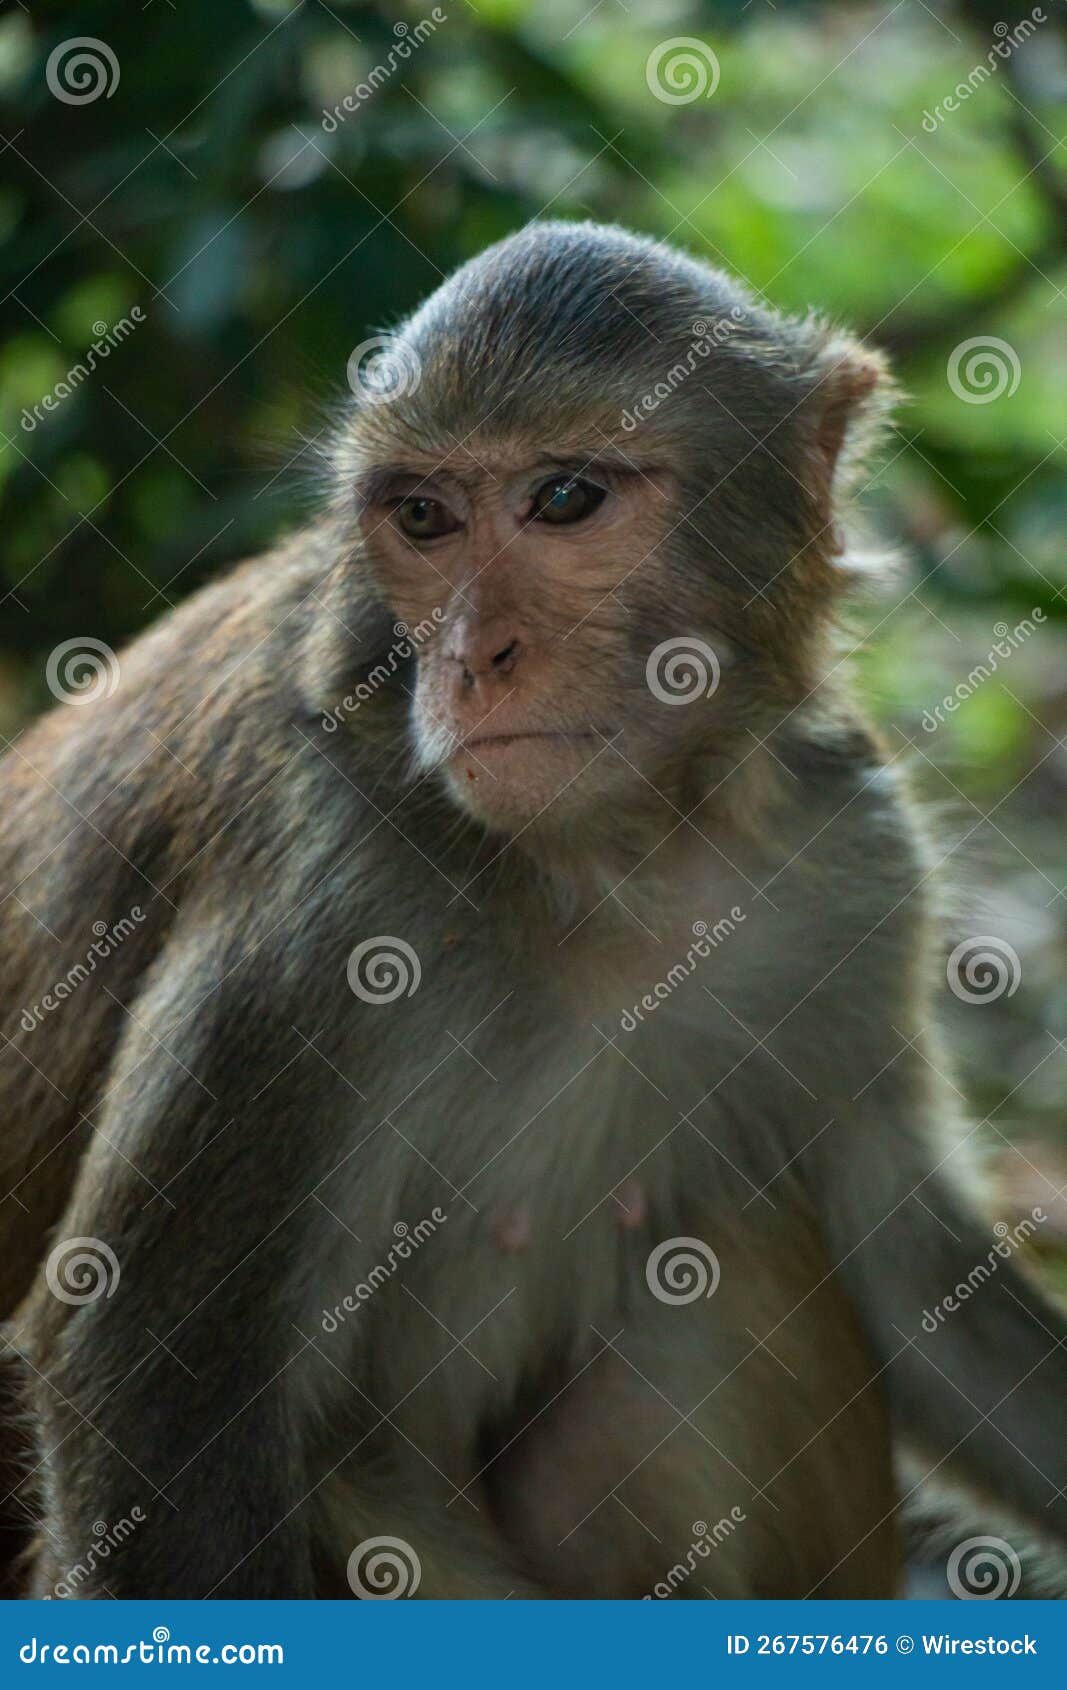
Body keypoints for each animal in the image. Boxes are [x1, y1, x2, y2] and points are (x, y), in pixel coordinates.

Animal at [0, 219, 1065, 1600]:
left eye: (564, 500)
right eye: (422, 516)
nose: (469, 658)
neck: (607, 861)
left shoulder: (851, 858)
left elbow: (914, 1278)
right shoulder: (316, 908)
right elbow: (147, 1388)